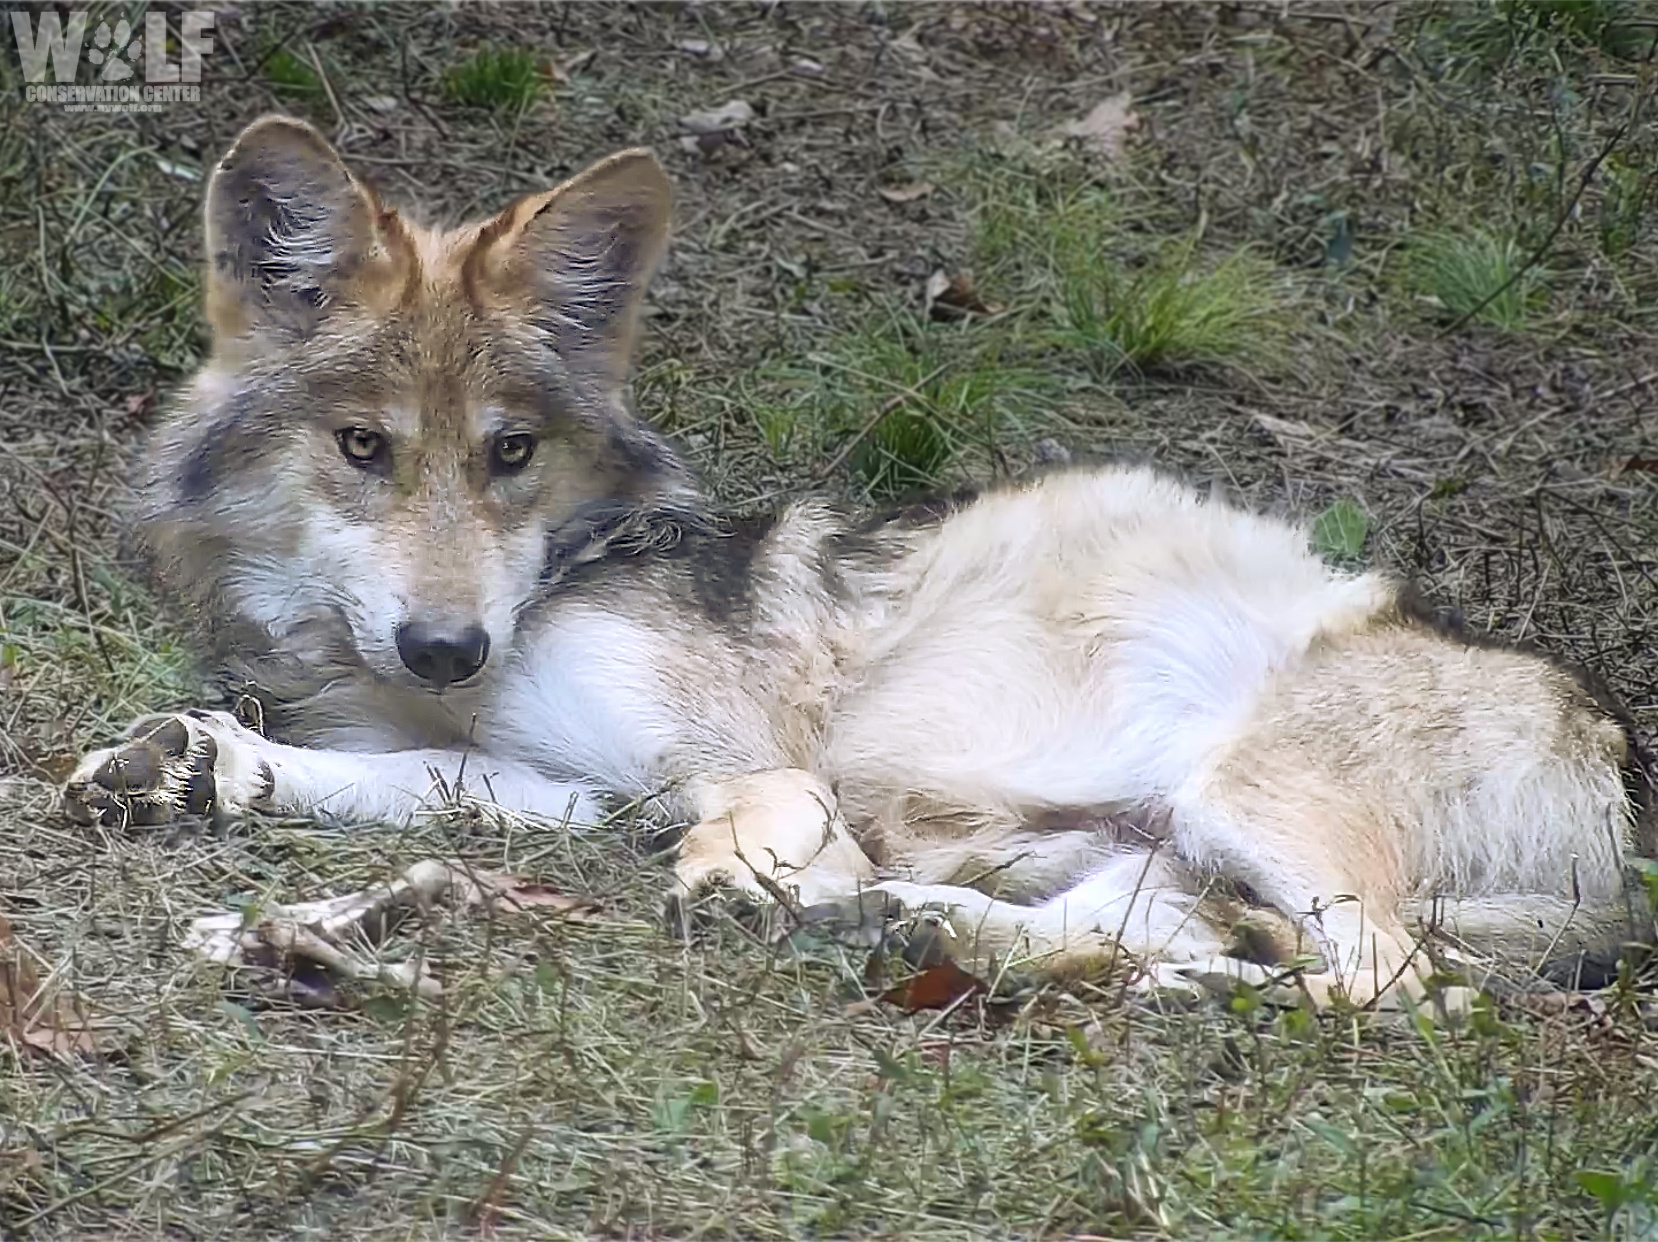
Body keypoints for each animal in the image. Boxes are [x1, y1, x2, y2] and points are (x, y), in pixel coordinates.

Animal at [64, 114, 1653, 1008]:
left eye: (510, 452)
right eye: (364, 448)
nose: (448, 646)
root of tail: (1609, 755)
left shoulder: (740, 767)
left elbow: (746, 824)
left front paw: (750, 882)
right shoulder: (568, 788)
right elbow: (396, 783)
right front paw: (199, 763)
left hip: (1241, 804)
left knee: (1410, 994)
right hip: (1143, 854)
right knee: (1156, 941)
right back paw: (947, 936)